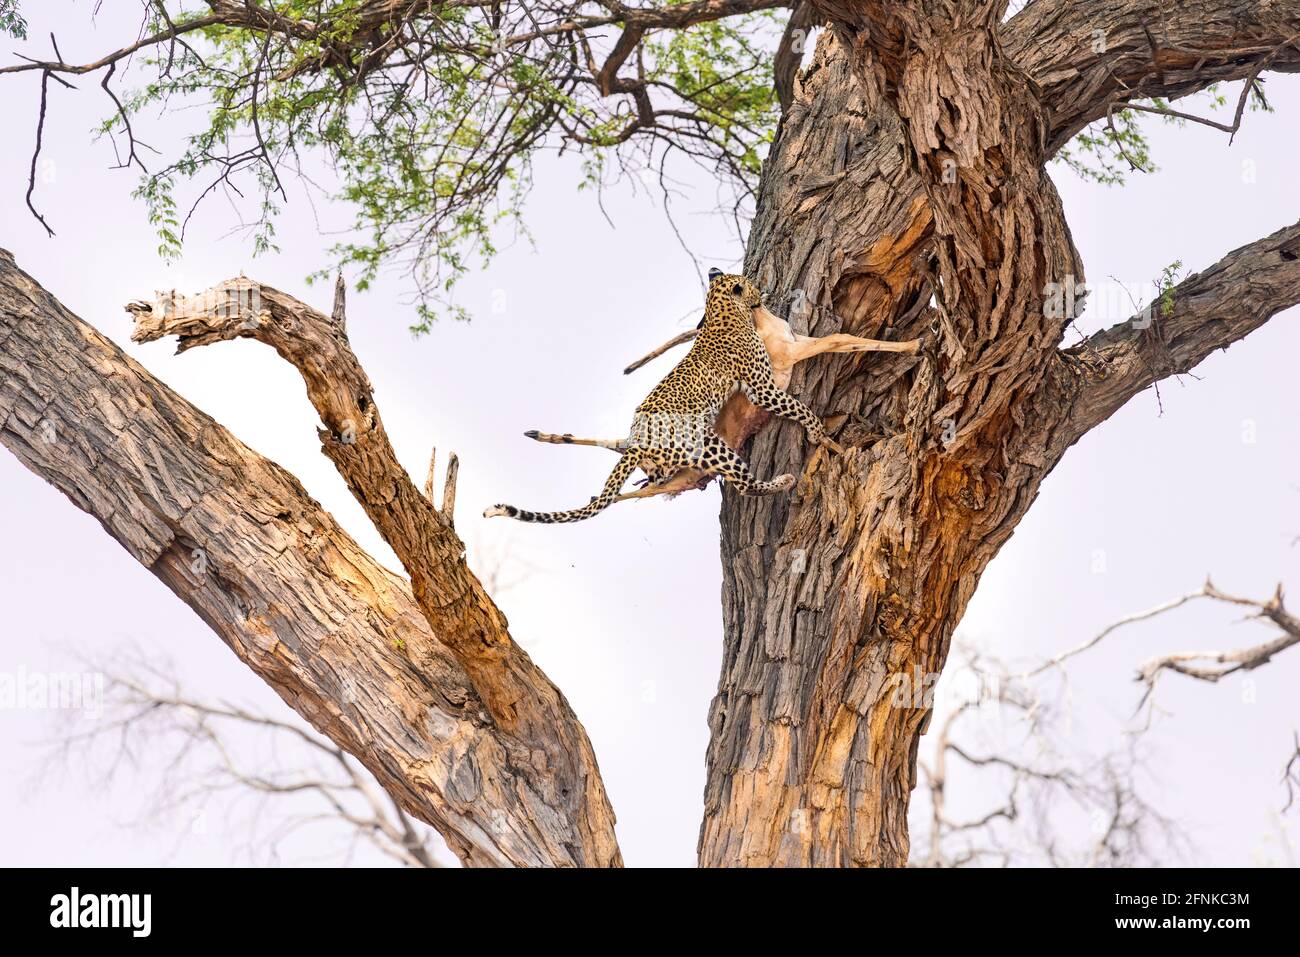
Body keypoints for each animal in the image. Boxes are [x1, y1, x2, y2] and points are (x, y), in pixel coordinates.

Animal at [484, 269, 842, 524]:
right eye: (749, 284)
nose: (761, 292)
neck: (720, 310)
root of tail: (639, 442)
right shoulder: (762, 389)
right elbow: (797, 406)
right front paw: (818, 432)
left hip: (653, 455)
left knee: (633, 466)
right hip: (711, 446)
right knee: (743, 484)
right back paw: (782, 481)